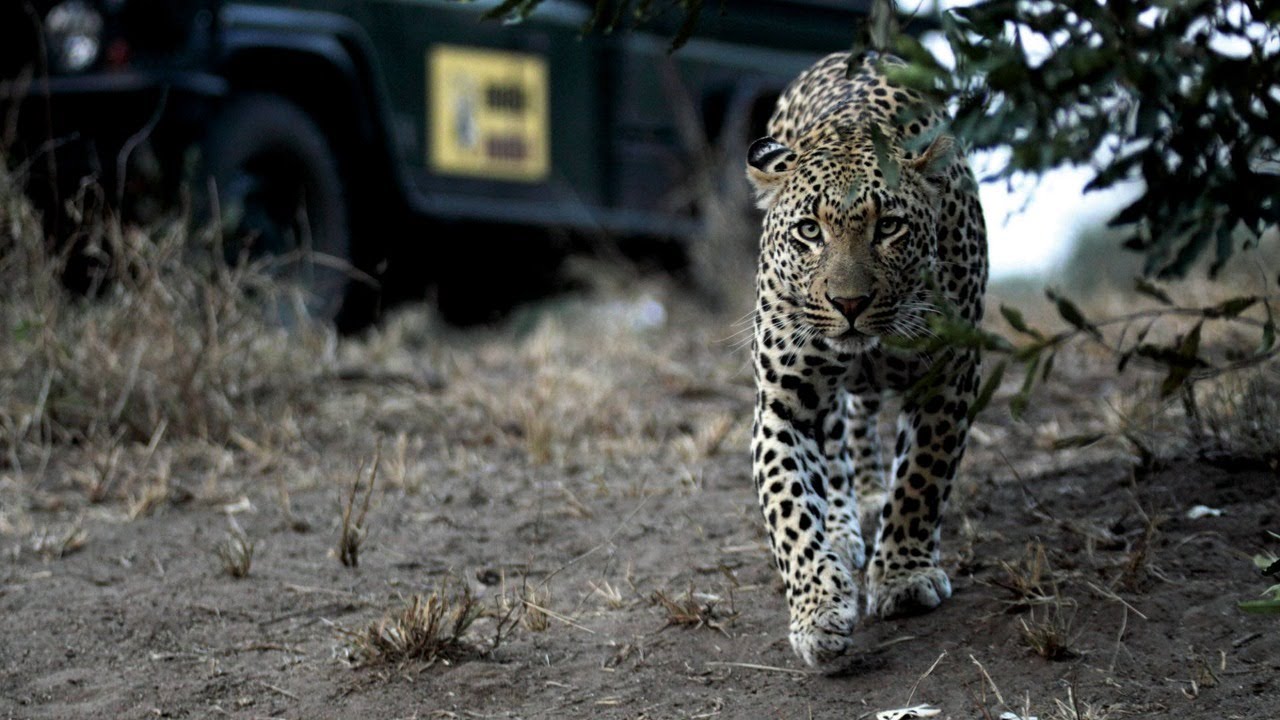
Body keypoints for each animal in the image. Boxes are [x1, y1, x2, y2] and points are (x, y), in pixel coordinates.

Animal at [745, 50, 988, 672]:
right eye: (809, 230)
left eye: (890, 226)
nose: (849, 303)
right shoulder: (783, 404)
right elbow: (788, 509)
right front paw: (818, 610)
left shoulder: (949, 377)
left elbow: (922, 478)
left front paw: (903, 577)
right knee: (836, 448)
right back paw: (841, 527)